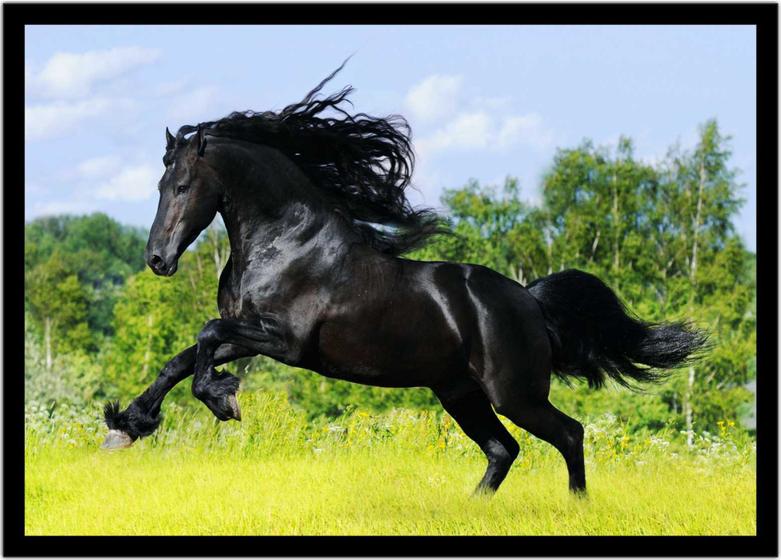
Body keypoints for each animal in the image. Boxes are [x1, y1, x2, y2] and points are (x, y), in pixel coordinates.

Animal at [102, 62, 706, 496]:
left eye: (182, 186)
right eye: (160, 185)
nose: (158, 259)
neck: (288, 243)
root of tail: (530, 302)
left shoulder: (284, 342)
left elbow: (202, 338)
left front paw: (221, 401)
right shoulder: (249, 334)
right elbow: (182, 358)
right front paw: (126, 425)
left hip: (514, 392)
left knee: (568, 435)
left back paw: (575, 507)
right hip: (461, 392)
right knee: (503, 450)